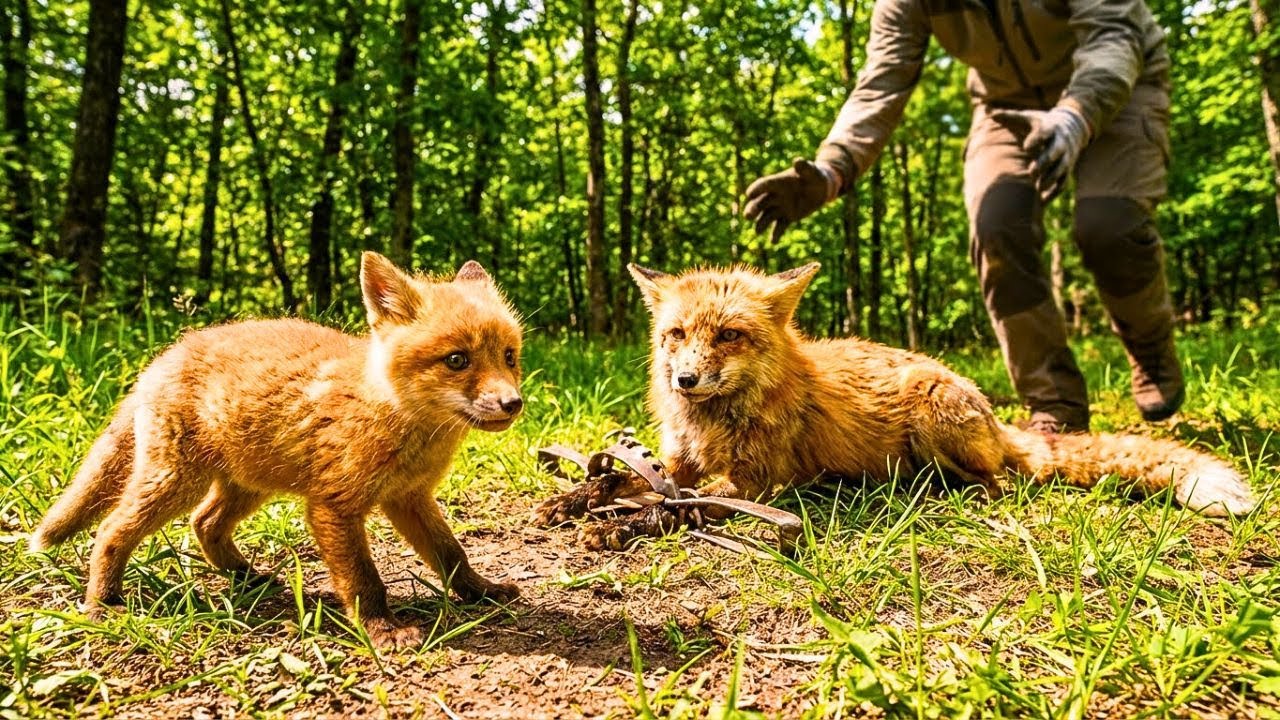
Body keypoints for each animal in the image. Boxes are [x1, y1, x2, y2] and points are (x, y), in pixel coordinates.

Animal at [30, 252, 523, 647]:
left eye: (509, 356)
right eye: (456, 360)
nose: (513, 403)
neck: (395, 417)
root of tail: (163, 357)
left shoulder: (410, 498)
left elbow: (451, 554)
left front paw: (481, 591)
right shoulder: (333, 506)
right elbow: (364, 581)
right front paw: (381, 629)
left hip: (248, 484)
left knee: (204, 523)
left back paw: (246, 578)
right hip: (177, 481)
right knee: (111, 528)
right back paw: (103, 603)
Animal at [537, 262, 1256, 550]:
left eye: (730, 336)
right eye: (677, 335)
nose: (685, 380)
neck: (714, 425)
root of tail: (994, 416)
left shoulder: (757, 483)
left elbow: (679, 505)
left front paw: (624, 524)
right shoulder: (680, 459)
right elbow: (632, 480)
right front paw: (578, 499)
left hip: (935, 423)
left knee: (1001, 483)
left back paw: (934, 494)